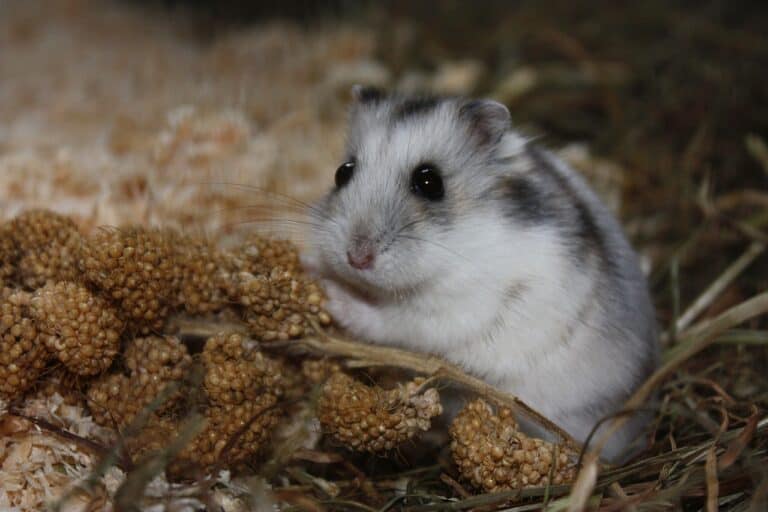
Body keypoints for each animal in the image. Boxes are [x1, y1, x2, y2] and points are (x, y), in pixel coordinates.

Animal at [304, 87, 659, 462]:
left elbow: (385, 320)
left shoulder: (449, 311)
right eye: (342, 173)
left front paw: (330, 292)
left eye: (430, 182)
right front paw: (310, 263)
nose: (356, 258)